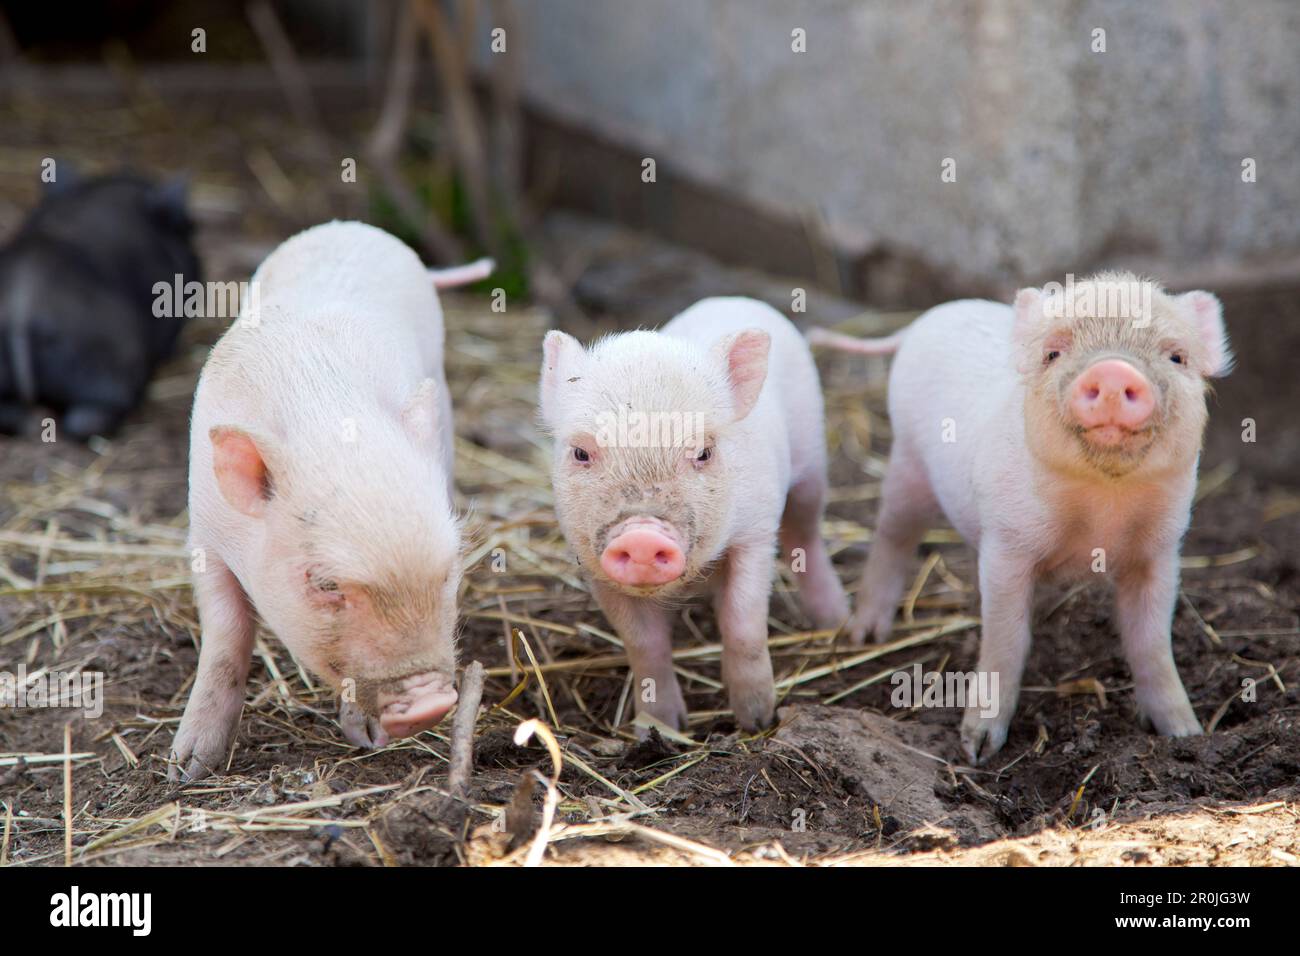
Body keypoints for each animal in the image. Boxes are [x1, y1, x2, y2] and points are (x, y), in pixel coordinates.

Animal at [170, 220, 492, 781]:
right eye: (324, 584)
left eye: (449, 570)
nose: (428, 702)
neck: (326, 414)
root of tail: (355, 227)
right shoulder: (204, 532)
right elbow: (226, 637)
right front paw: (186, 769)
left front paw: (366, 739)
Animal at [540, 297, 849, 733]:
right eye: (581, 453)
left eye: (703, 452)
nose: (642, 534)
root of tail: (735, 299)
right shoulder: (591, 561)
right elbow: (643, 643)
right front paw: (658, 728)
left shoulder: (755, 534)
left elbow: (744, 623)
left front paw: (757, 720)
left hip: (812, 463)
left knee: (804, 534)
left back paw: (838, 623)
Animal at [809, 272, 1231, 763]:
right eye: (1053, 353)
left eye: (1177, 356)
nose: (1112, 371)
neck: (1102, 507)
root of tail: (926, 318)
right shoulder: (1006, 543)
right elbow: (1006, 639)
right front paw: (977, 750)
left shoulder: (1161, 551)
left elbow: (1153, 643)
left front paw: (1187, 735)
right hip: (906, 465)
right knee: (892, 537)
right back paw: (866, 635)